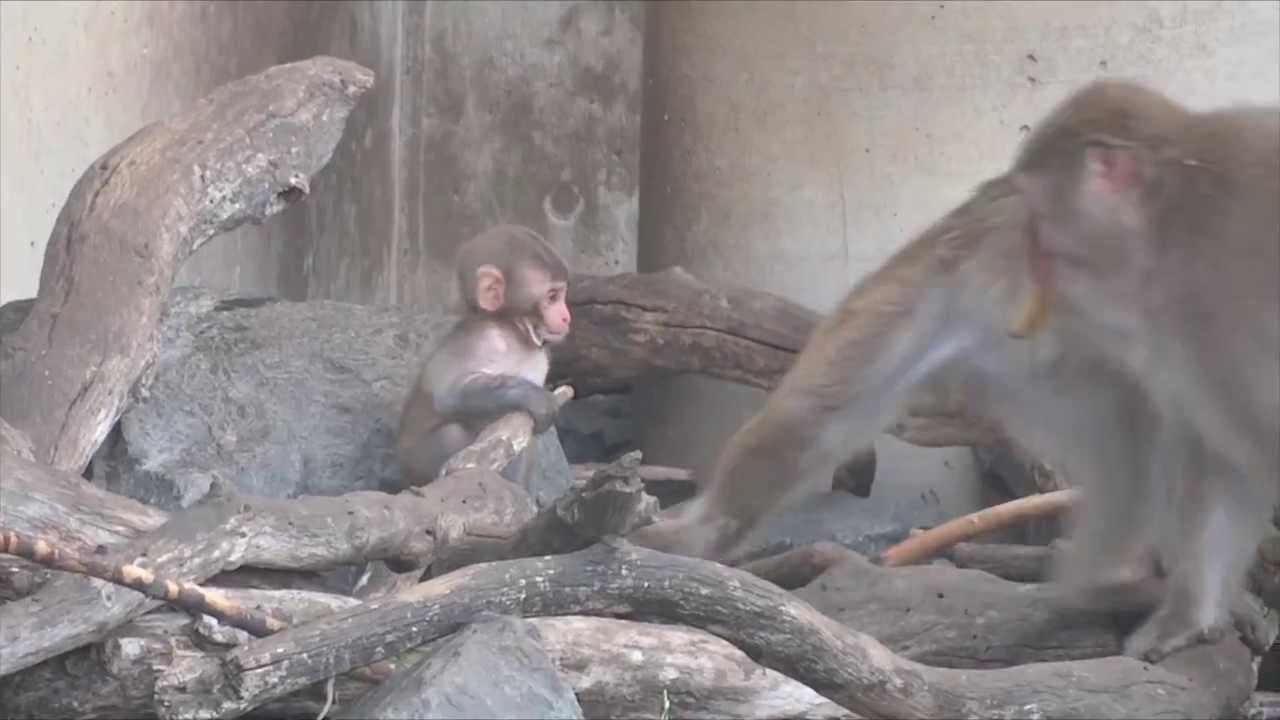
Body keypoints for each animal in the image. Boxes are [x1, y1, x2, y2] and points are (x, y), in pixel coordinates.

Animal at [395, 224, 572, 492]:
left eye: (561, 295)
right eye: (552, 297)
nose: (566, 316)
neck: (512, 331)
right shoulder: (480, 341)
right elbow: (451, 394)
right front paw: (534, 397)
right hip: (415, 464)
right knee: (451, 435)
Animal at [1005, 80, 1279, 661]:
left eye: (1039, 216)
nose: (1029, 252)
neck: (1169, 218)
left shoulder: (1216, 317)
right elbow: (1228, 462)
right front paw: (1185, 616)